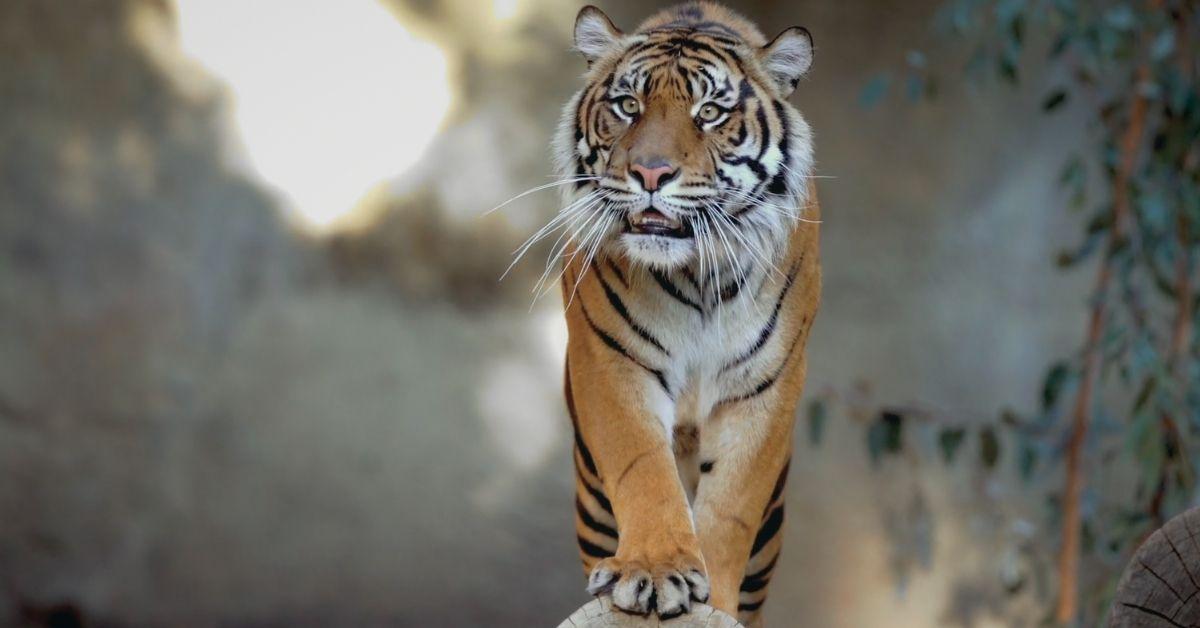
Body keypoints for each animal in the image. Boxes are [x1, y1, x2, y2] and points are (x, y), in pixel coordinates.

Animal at [547, 2, 821, 626]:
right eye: (628, 106)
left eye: (710, 113)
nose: (650, 174)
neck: (695, 275)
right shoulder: (612, 360)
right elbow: (642, 465)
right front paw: (652, 570)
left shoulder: (763, 386)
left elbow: (730, 509)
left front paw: (710, 599)